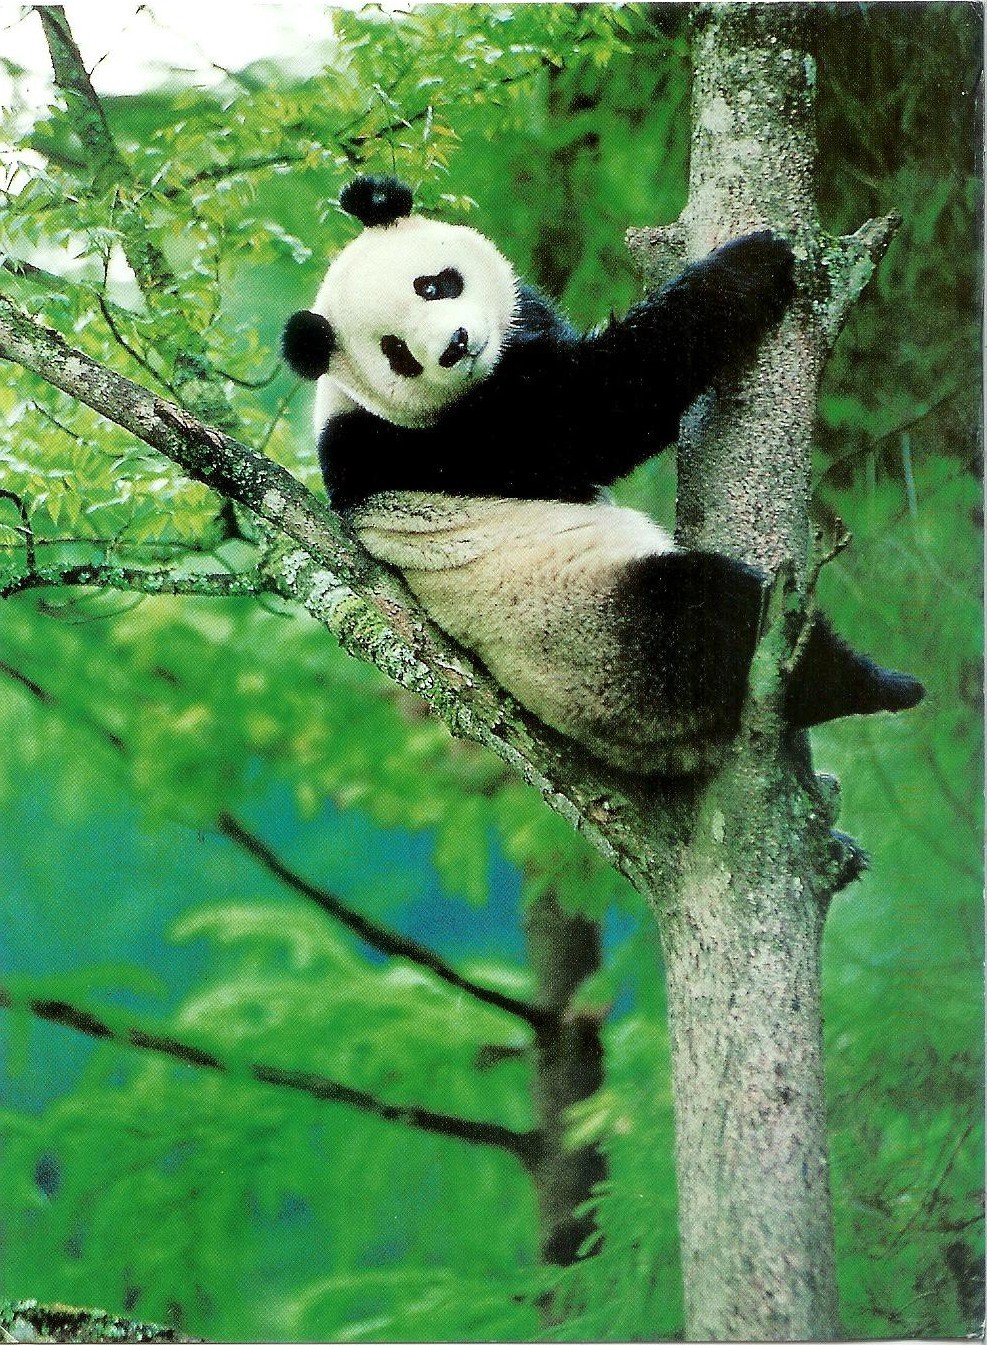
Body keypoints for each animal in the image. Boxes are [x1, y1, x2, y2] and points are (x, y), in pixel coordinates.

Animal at [282, 175, 923, 775]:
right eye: (396, 353)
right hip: (599, 639)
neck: (351, 398)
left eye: (433, 284)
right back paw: (870, 683)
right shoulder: (453, 440)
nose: (456, 346)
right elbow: (601, 411)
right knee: (710, 615)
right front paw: (752, 265)